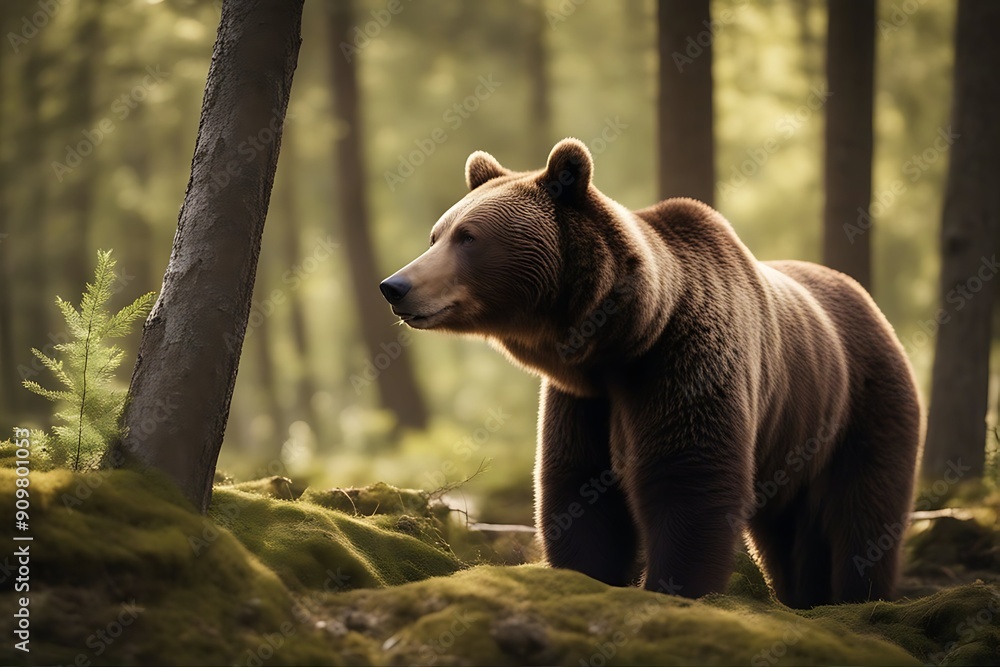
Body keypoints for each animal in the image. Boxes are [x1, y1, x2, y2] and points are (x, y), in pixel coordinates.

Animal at [379, 138, 922, 608]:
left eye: (468, 237)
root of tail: (871, 305)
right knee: (788, 531)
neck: (624, 339)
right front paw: (587, 576)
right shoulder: (584, 400)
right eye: (436, 235)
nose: (395, 285)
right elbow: (578, 488)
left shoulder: (682, 364)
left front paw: (675, 586)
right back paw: (805, 597)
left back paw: (856, 596)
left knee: (863, 512)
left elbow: (688, 477)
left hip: (863, 405)